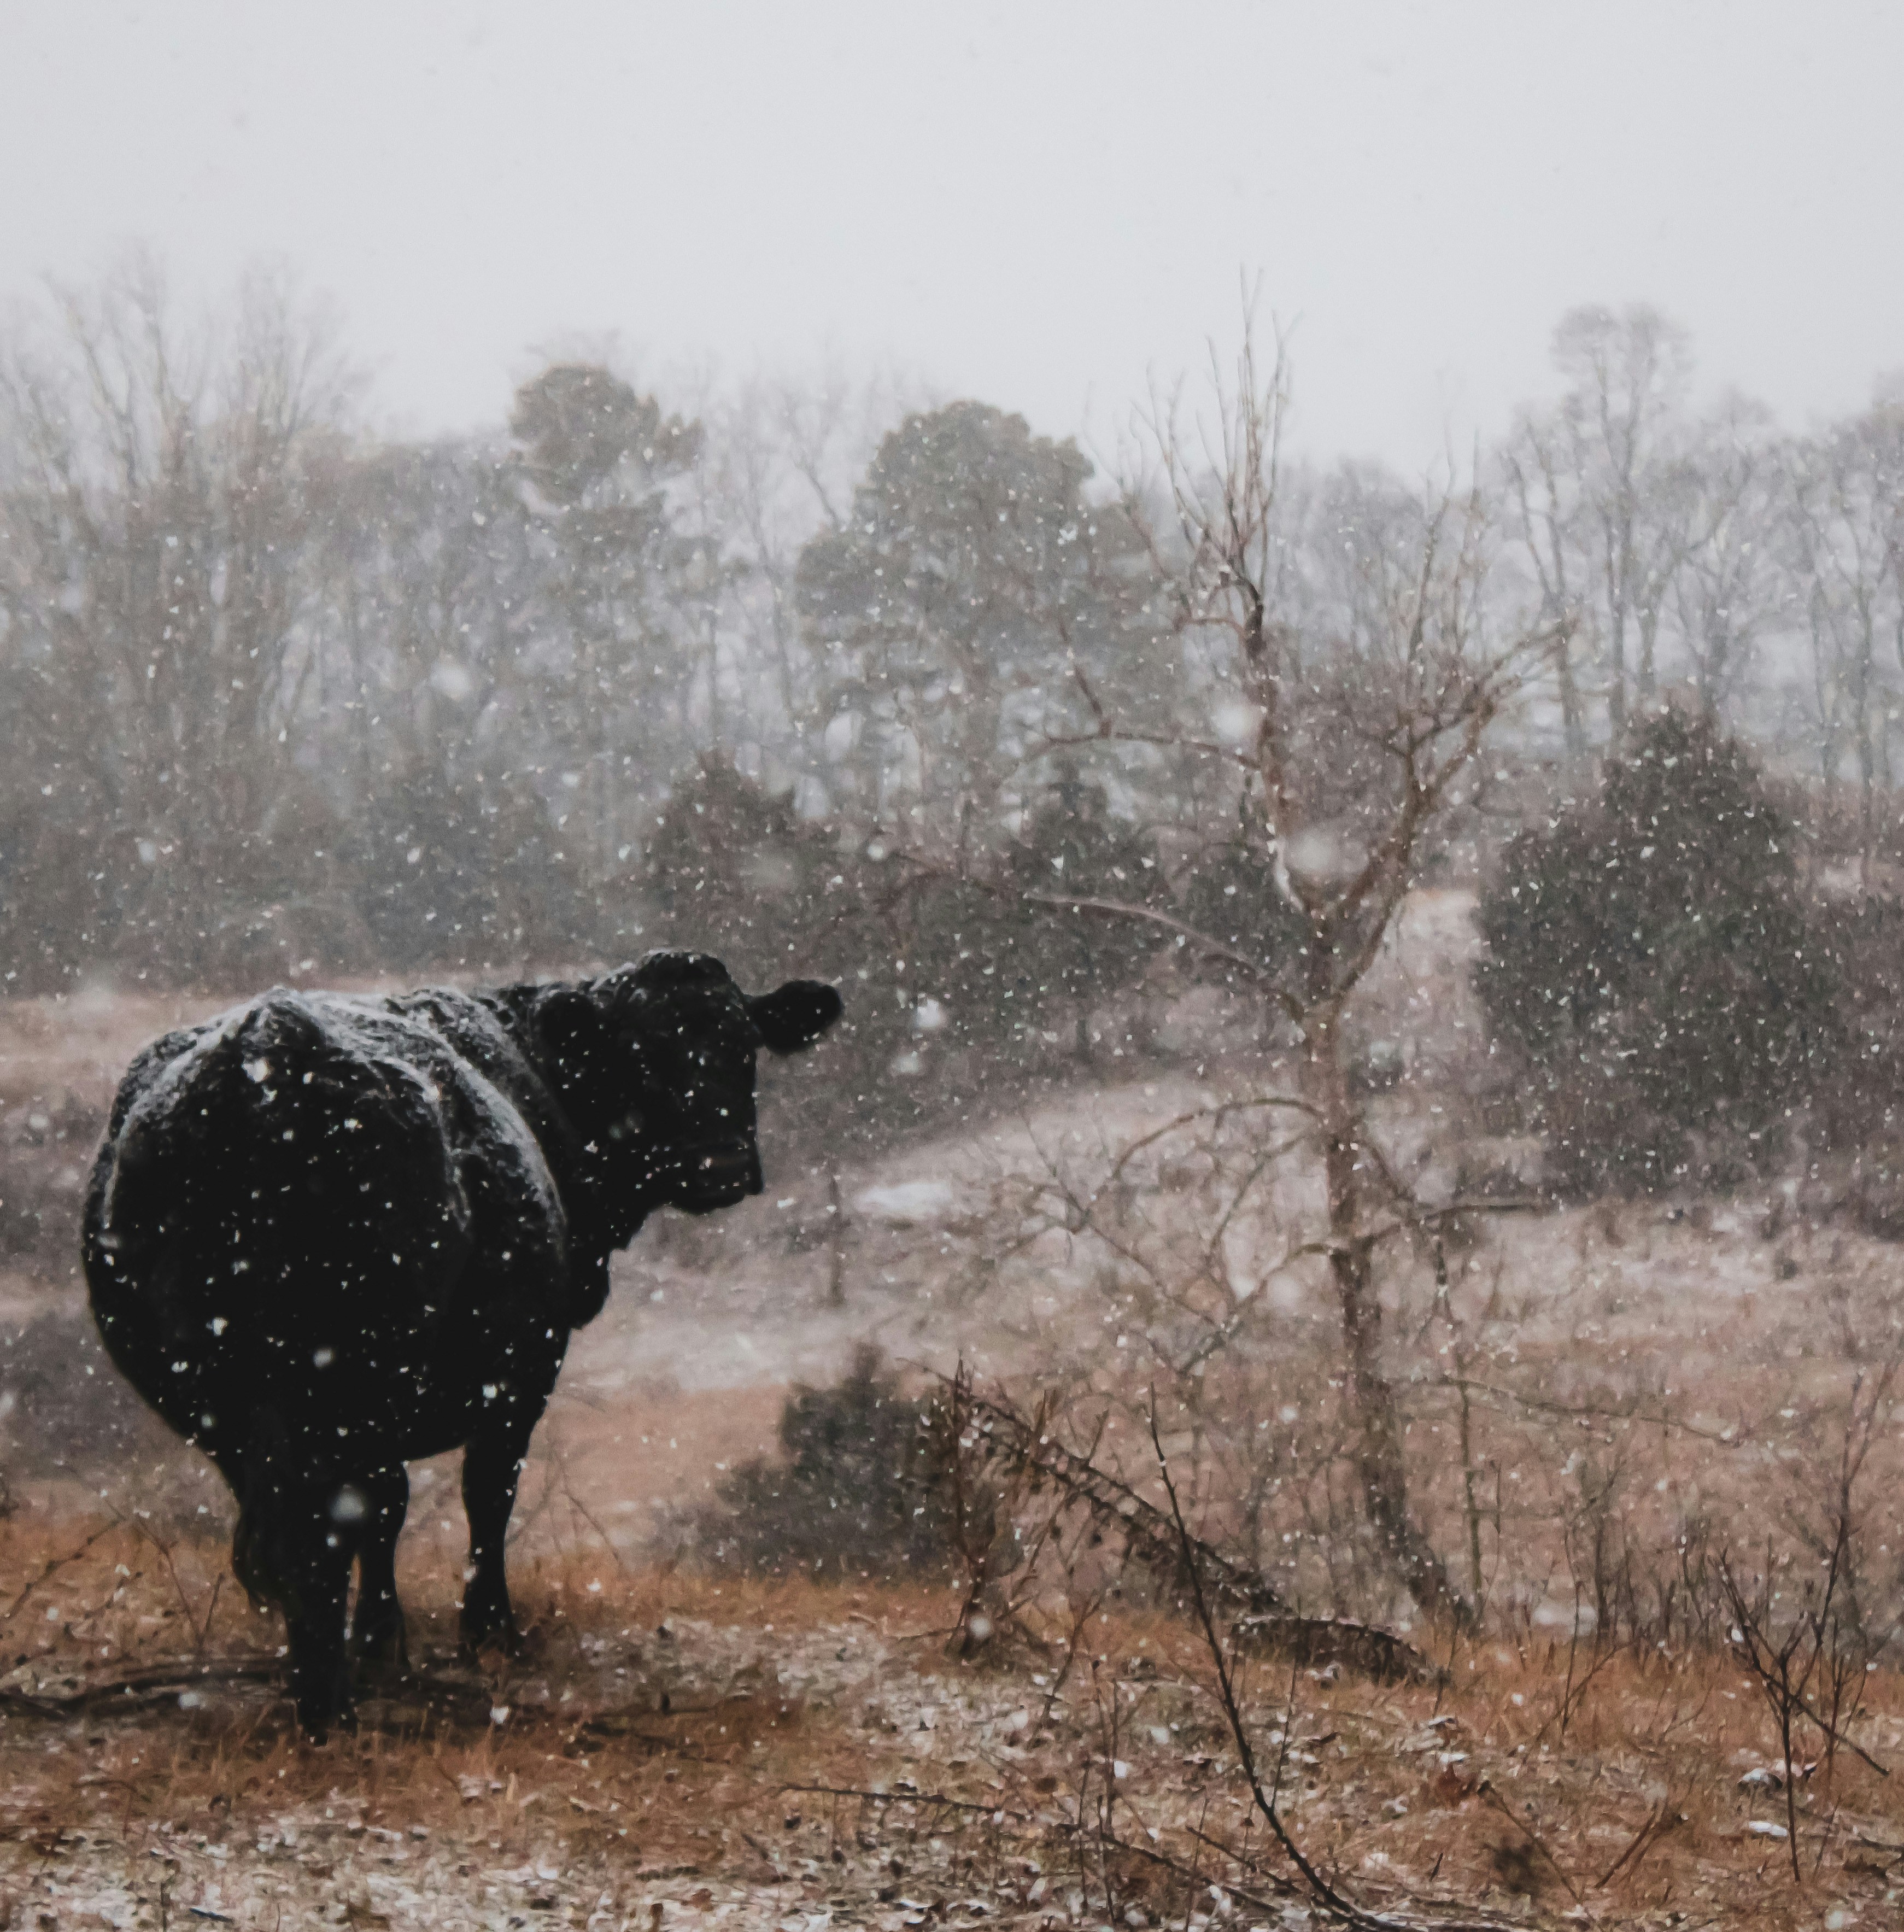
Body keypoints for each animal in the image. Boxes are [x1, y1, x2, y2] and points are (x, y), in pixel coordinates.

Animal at [81, 950, 841, 1737]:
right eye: (641, 1054)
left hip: (220, 1388)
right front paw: (479, 1631)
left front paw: (390, 1638)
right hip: (356, 1371)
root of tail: (269, 1046)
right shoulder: (526, 1364)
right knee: (331, 1520)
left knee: (289, 1519)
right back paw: (329, 1703)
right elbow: (484, 1490)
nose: (720, 1166)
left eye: (743, 1045)